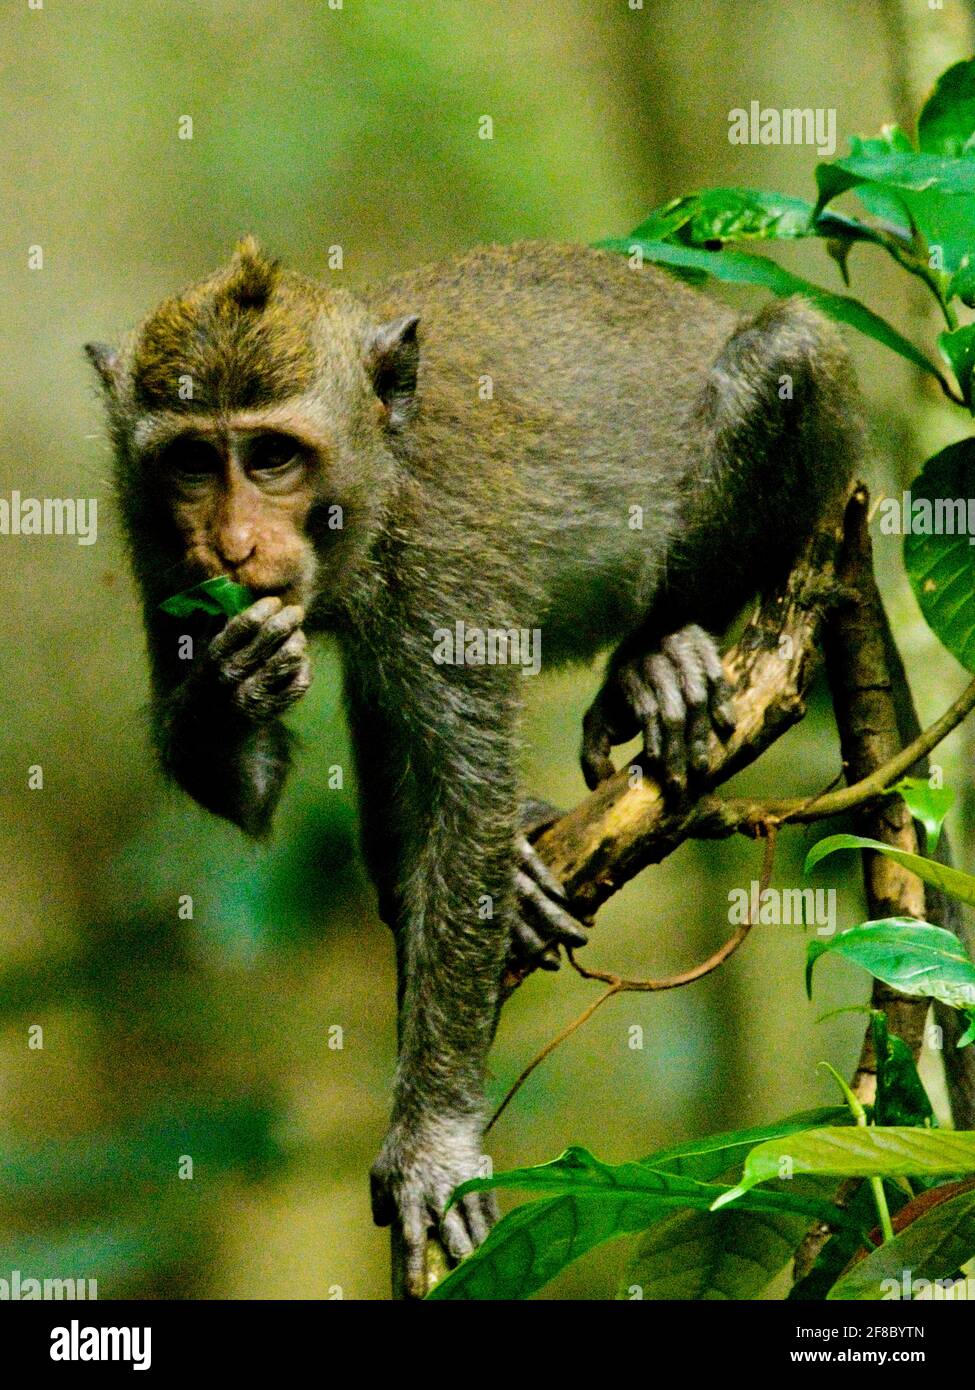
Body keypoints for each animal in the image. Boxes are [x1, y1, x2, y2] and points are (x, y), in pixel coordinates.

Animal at [86, 236, 864, 1297]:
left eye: (273, 456)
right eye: (193, 463)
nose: (234, 547)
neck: (377, 479)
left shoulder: (440, 559)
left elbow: (464, 799)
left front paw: (431, 1142)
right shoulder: (153, 540)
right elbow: (248, 789)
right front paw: (225, 690)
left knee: (785, 352)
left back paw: (653, 657)